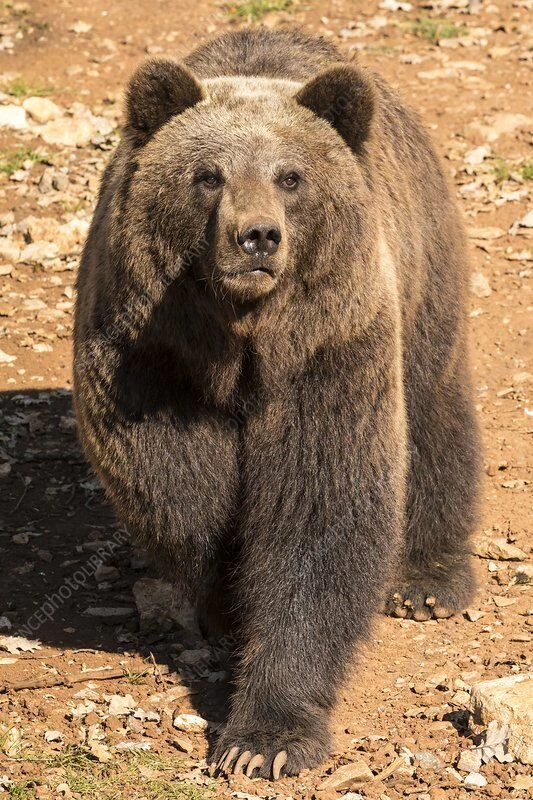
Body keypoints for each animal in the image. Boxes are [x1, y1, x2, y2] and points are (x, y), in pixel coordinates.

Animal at [73, 27, 481, 780]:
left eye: (290, 176)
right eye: (207, 174)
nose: (256, 236)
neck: (239, 339)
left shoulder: (328, 350)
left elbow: (320, 507)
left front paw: (266, 738)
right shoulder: (147, 355)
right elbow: (179, 495)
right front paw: (227, 605)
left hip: (419, 272)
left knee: (433, 409)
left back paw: (428, 579)